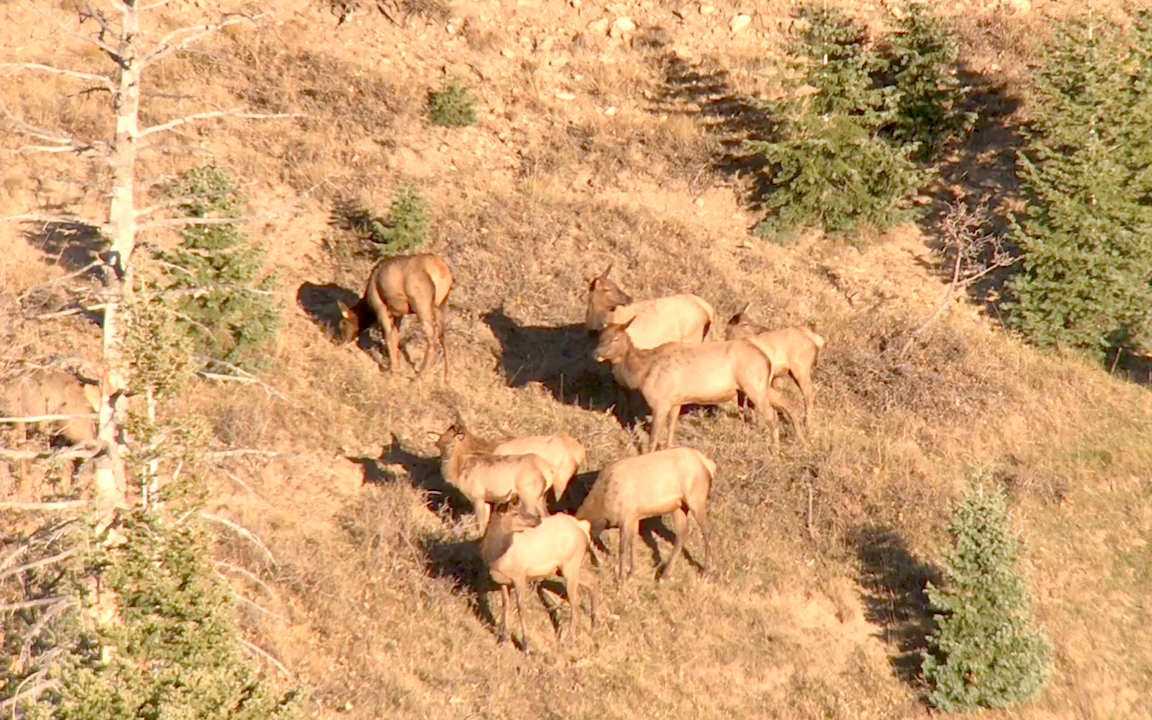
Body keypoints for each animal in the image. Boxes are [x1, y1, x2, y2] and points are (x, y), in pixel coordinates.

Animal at [337, 254, 453, 382]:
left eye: (342, 323)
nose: (339, 342)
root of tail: (442, 271)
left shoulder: (381, 307)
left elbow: (388, 336)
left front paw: (392, 370)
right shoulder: (399, 313)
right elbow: (395, 336)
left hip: (422, 304)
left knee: (432, 336)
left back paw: (419, 375)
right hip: (441, 304)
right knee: (443, 336)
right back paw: (447, 376)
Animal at [482, 496, 597, 650]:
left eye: (522, 508)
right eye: (515, 513)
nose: (537, 519)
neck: (496, 558)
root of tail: (583, 527)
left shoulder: (520, 575)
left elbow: (521, 608)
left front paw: (526, 644)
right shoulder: (504, 581)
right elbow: (505, 607)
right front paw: (504, 640)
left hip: (570, 564)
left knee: (575, 602)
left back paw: (570, 639)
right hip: (564, 568)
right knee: (592, 579)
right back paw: (594, 623)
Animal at [576, 447, 715, 584]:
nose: (597, 564)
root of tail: (709, 464)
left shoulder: (626, 516)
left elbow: (622, 549)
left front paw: (621, 579)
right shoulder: (634, 517)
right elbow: (633, 544)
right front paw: (631, 573)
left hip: (696, 498)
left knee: (707, 532)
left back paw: (705, 572)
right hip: (678, 507)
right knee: (681, 536)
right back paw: (663, 575)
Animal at [593, 319, 803, 454]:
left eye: (616, 339)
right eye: (601, 336)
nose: (596, 353)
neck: (641, 373)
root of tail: (767, 359)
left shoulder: (661, 401)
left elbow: (653, 437)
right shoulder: (675, 400)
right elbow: (672, 427)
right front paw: (670, 448)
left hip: (753, 385)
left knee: (772, 416)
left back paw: (775, 453)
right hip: (762, 385)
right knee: (789, 403)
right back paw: (800, 439)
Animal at [725, 304, 826, 432]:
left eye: (751, 320)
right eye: (745, 323)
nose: (764, 329)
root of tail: (817, 340)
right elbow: (743, 403)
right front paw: (750, 424)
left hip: (800, 367)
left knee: (809, 392)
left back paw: (806, 425)